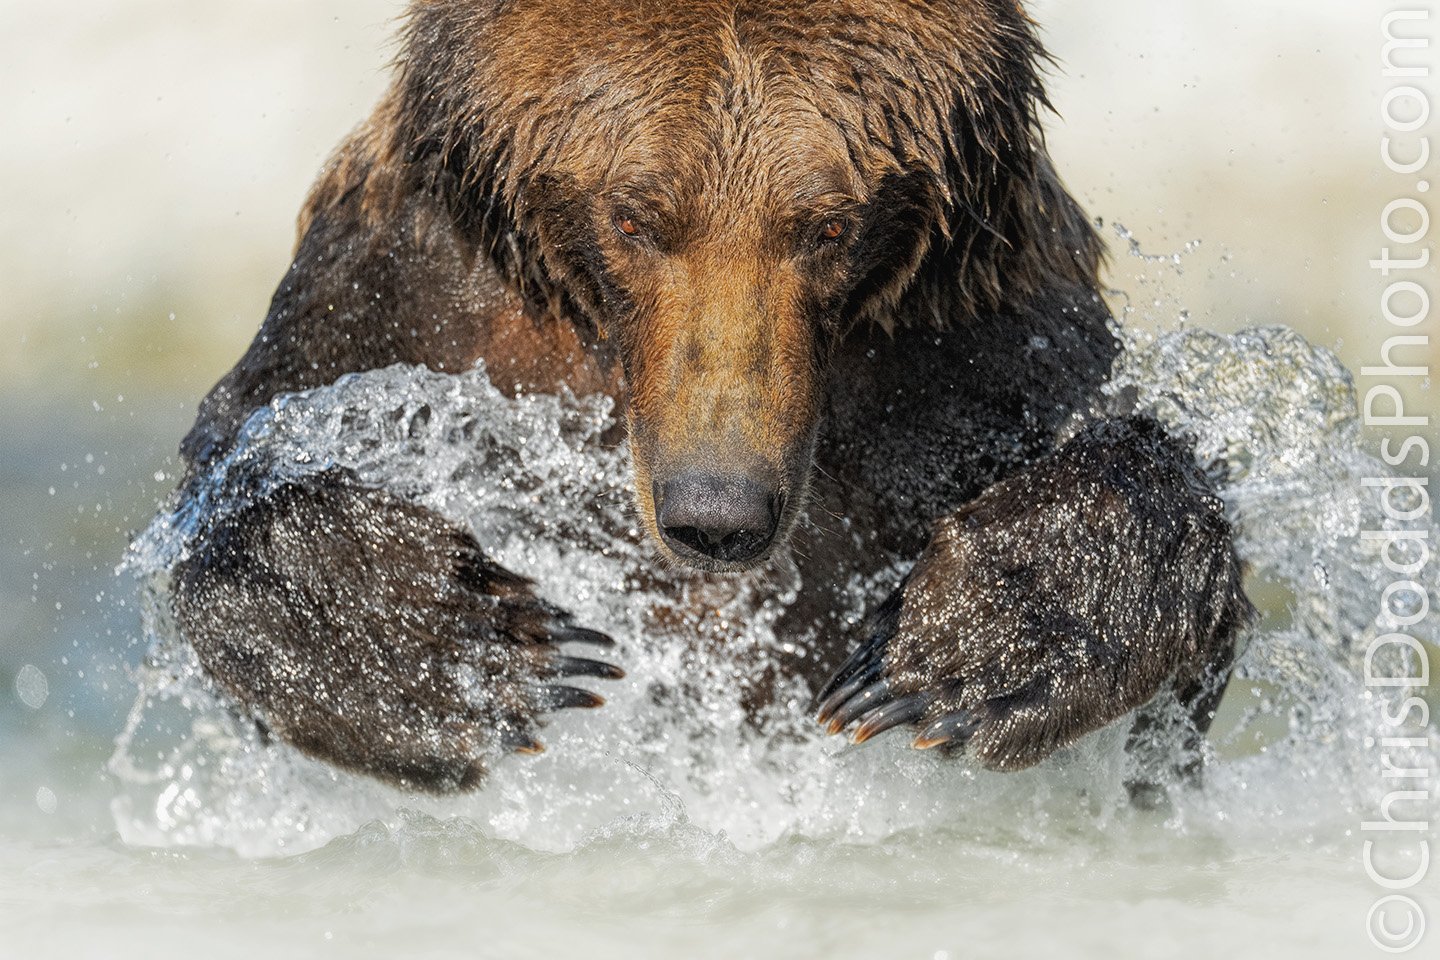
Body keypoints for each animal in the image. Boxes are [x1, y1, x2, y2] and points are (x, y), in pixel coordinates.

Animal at [170, 0, 1253, 794]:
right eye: (634, 215)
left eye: (827, 225)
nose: (717, 512)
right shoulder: (400, 294)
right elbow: (238, 475)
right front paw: (475, 651)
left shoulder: (979, 331)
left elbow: (1151, 498)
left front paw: (951, 650)